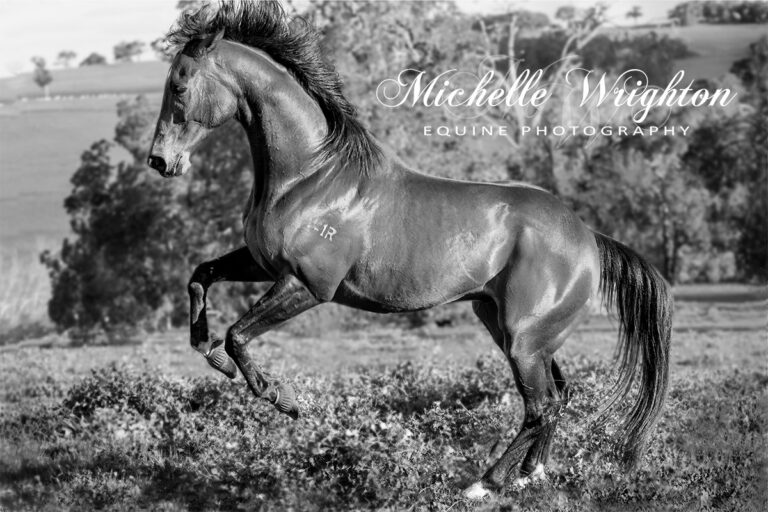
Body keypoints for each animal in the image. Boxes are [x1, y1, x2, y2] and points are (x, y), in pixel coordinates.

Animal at [147, 1, 672, 499]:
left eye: (180, 86)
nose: (160, 161)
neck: (310, 176)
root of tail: (588, 238)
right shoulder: (262, 264)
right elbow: (201, 275)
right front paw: (205, 347)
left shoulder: (307, 285)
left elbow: (238, 334)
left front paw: (280, 396)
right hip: (516, 332)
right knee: (558, 396)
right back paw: (530, 476)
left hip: (524, 339)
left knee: (540, 406)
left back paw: (485, 483)